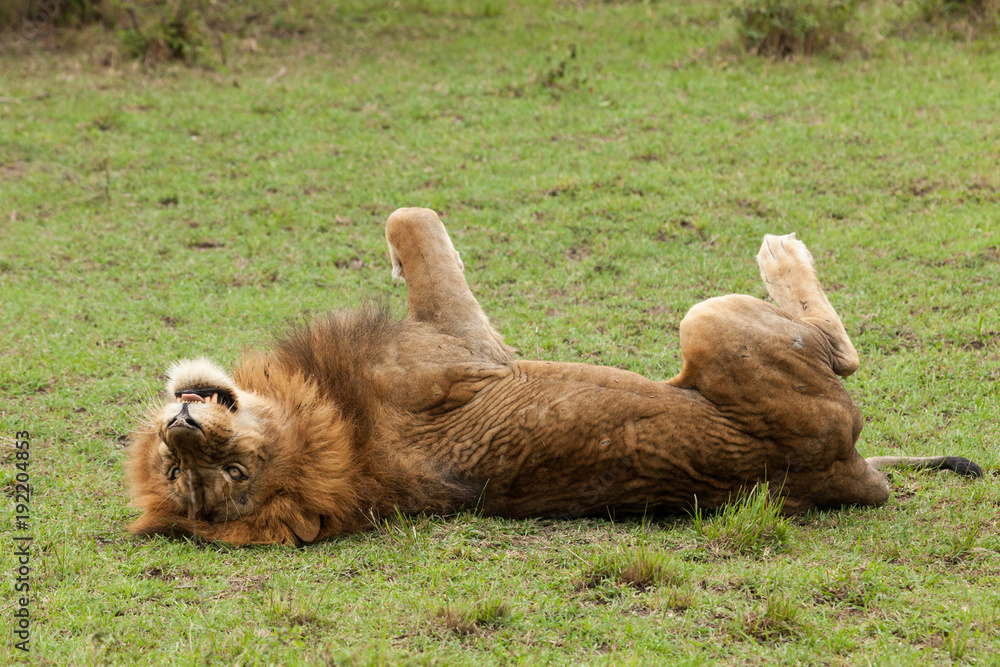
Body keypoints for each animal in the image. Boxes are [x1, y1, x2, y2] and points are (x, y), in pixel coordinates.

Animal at [126, 207, 983, 545]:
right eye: (207, 474)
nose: (184, 424)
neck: (335, 430)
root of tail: (846, 472)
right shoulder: (466, 339)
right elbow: (414, 221)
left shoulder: (470, 344)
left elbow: (406, 220)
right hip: (709, 325)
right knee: (840, 349)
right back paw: (781, 252)